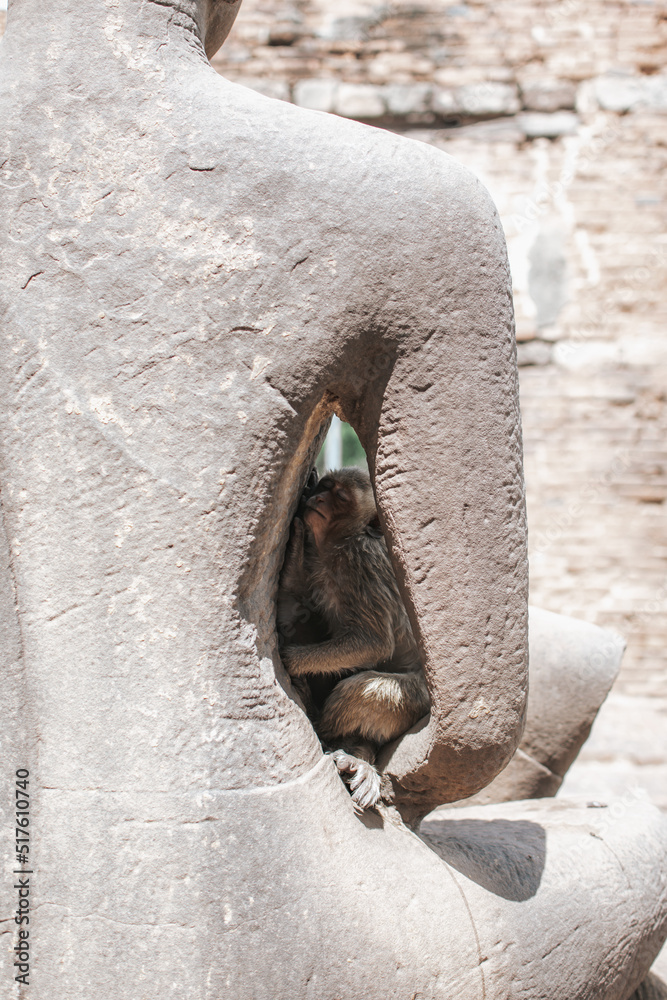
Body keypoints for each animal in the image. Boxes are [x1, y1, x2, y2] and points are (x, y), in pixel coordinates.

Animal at [278, 467, 430, 809]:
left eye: (341, 497)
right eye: (325, 487)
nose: (319, 498)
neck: (338, 543)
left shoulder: (361, 560)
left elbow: (373, 642)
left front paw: (291, 660)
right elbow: (302, 597)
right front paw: (295, 551)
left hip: (417, 700)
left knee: (365, 689)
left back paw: (320, 725)